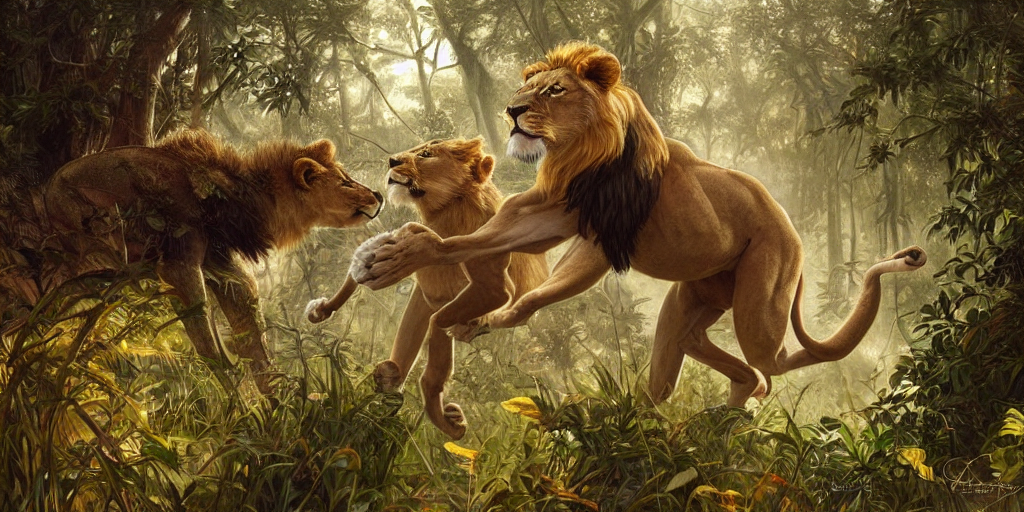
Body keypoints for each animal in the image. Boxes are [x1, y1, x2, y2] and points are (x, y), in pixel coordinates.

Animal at [44, 128, 383, 394]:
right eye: (345, 182)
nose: (379, 195)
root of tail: (50, 191)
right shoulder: (179, 264)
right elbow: (209, 346)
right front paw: (237, 411)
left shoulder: (222, 267)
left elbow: (252, 337)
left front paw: (278, 407)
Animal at [305, 138, 549, 439]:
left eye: (426, 154)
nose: (392, 161)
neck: (446, 211)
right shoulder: (425, 288)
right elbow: (409, 331)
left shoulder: (491, 285)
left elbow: (438, 339)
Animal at [350, 41, 927, 418]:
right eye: (524, 89)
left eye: (554, 90)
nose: (512, 111)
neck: (581, 155)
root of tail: (794, 232)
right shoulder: (547, 214)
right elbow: (468, 244)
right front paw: (401, 258)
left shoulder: (601, 243)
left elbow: (537, 292)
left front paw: (485, 318)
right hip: (691, 301)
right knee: (689, 360)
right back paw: (708, 419)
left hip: (762, 297)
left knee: (773, 364)